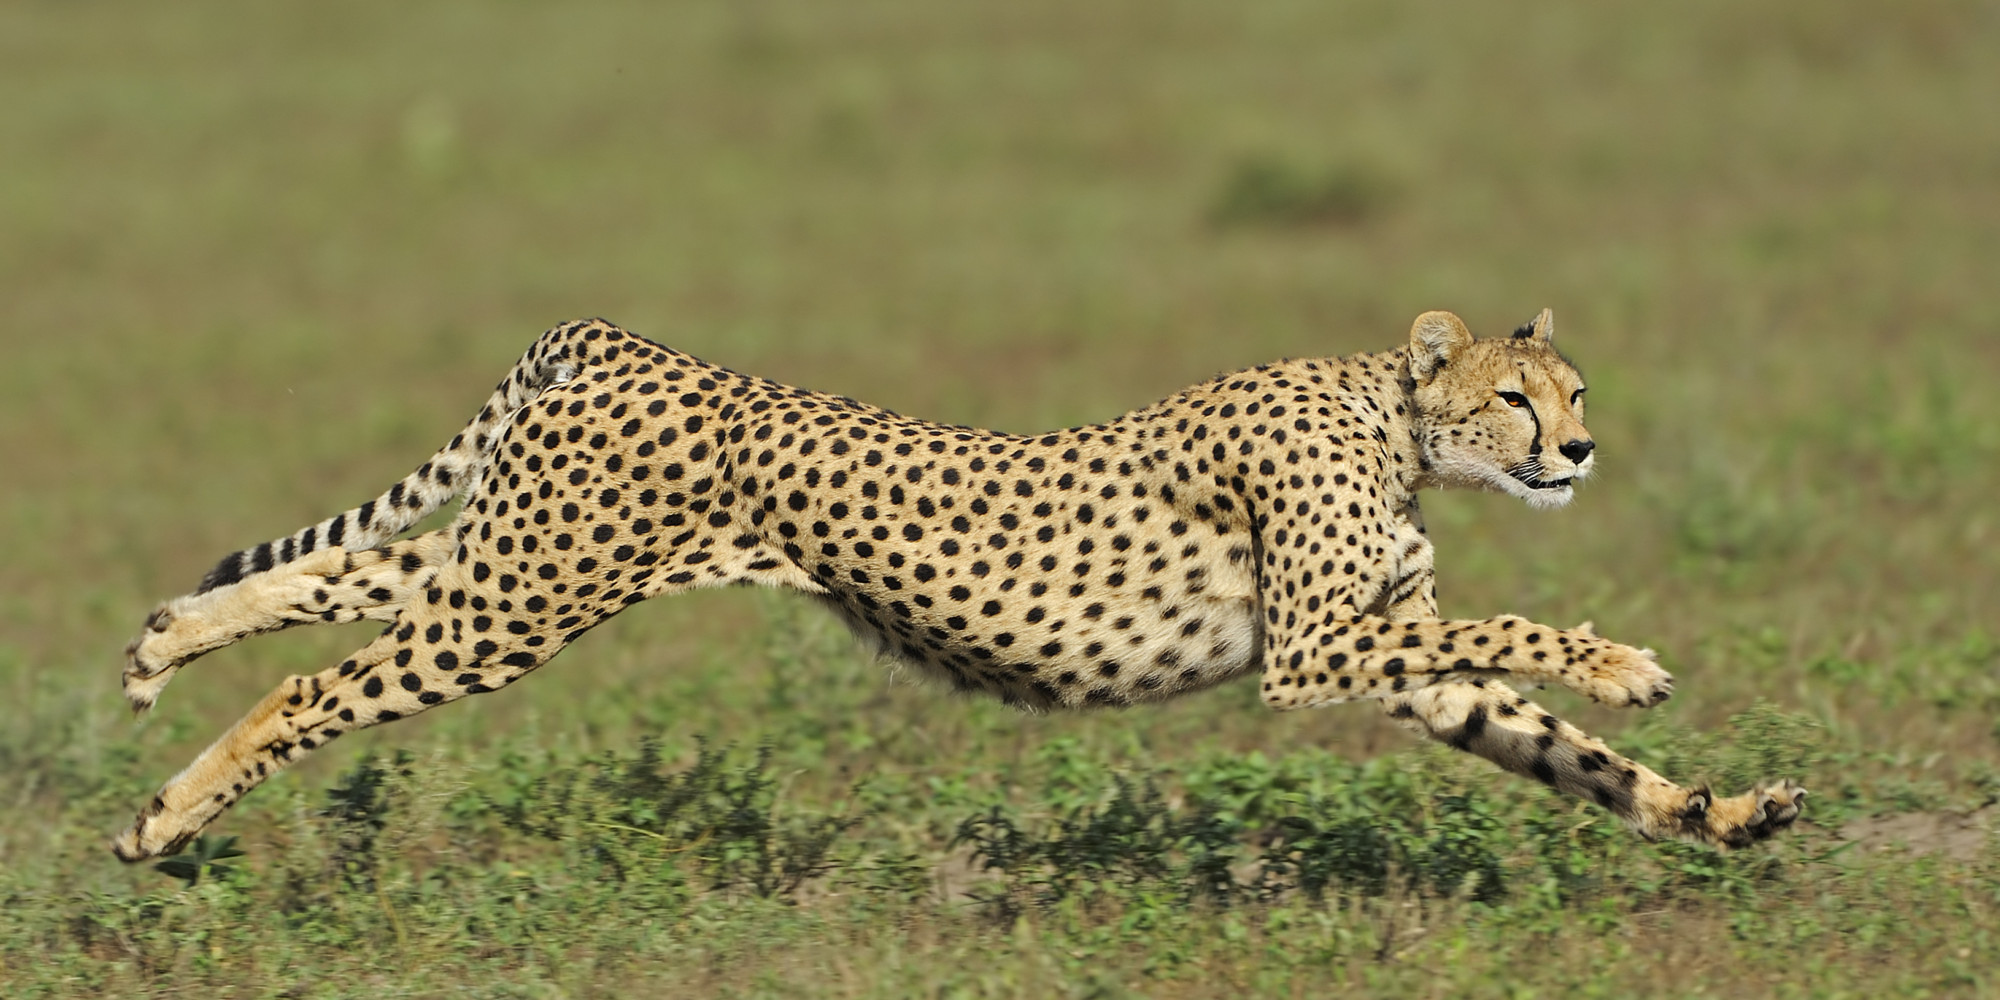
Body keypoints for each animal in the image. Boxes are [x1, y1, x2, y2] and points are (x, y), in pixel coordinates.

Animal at [112, 309, 1806, 861]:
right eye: (1520, 398)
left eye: (1573, 389)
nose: (1580, 447)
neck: (1394, 422)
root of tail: (617, 338)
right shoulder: (1312, 655)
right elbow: (1520, 636)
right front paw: (1623, 661)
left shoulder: (1394, 663)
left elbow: (1557, 748)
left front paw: (1723, 813)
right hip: (522, 600)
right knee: (318, 682)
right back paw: (163, 825)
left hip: (514, 560)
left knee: (334, 578)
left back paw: (156, 652)